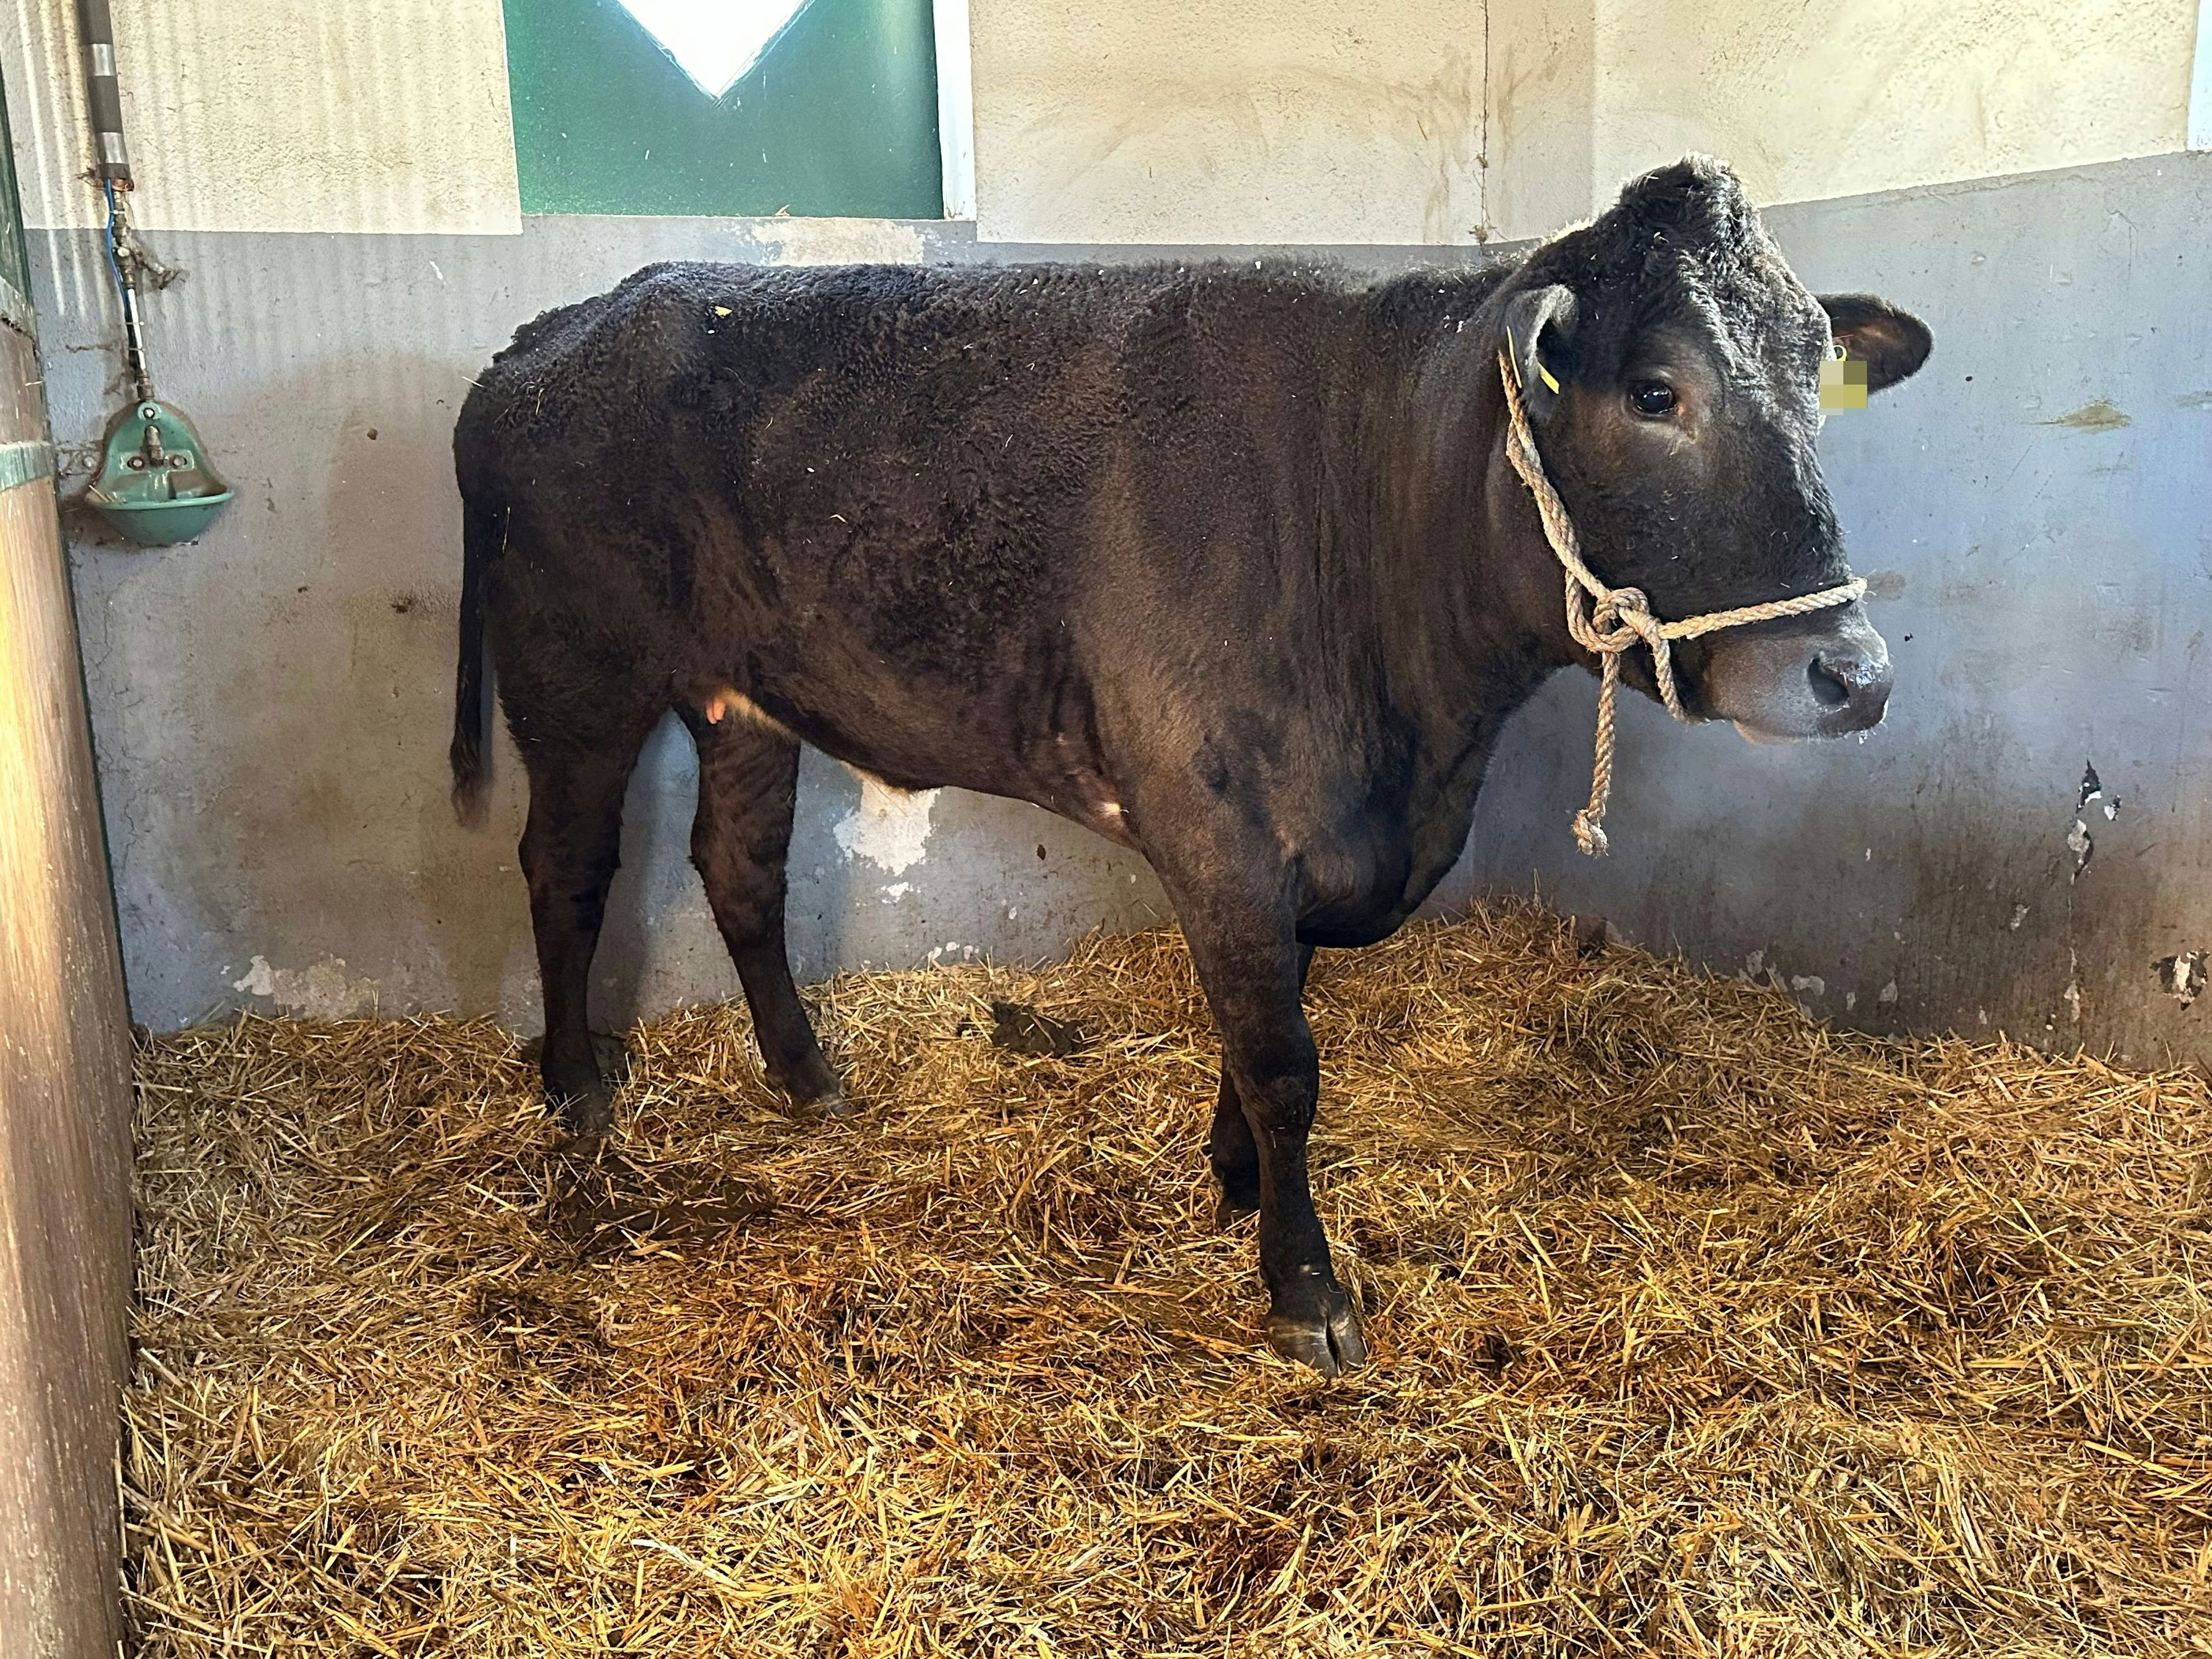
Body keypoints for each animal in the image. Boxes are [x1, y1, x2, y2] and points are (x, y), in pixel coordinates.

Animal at [450, 156, 1930, 1375]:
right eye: (1654, 391)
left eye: (1813, 383)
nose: (1852, 673)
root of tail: (556, 332)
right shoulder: (1216, 825)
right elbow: (1281, 1057)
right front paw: (1303, 1284)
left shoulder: (1309, 845)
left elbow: (1262, 1022)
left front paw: (1231, 1178)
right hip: (573, 680)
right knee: (566, 866)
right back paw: (575, 1088)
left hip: (740, 699)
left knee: (740, 868)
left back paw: (808, 1076)